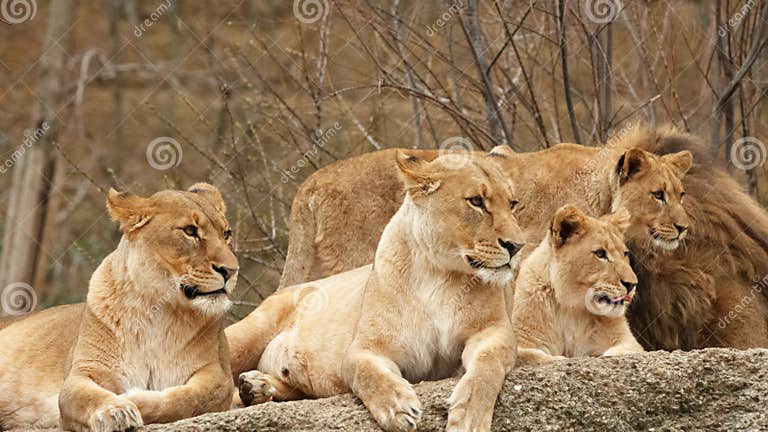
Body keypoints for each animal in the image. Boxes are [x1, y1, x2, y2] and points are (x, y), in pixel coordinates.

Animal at [0, 183, 237, 431]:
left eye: (226, 234)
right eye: (190, 231)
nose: (231, 270)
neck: (159, 310)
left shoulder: (218, 375)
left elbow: (188, 400)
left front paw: (133, 397)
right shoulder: (83, 373)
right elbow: (86, 396)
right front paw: (116, 411)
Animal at [227, 150, 525, 432]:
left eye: (512, 204)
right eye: (476, 201)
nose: (517, 246)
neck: (438, 275)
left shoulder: (493, 331)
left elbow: (487, 365)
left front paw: (469, 415)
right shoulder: (364, 348)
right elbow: (367, 373)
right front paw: (398, 407)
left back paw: (257, 387)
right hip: (248, 333)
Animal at [513, 205, 644, 365]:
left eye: (625, 253)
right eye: (600, 254)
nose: (632, 284)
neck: (572, 309)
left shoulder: (626, 338)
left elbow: (629, 350)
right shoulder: (522, 335)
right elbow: (527, 354)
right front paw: (557, 358)